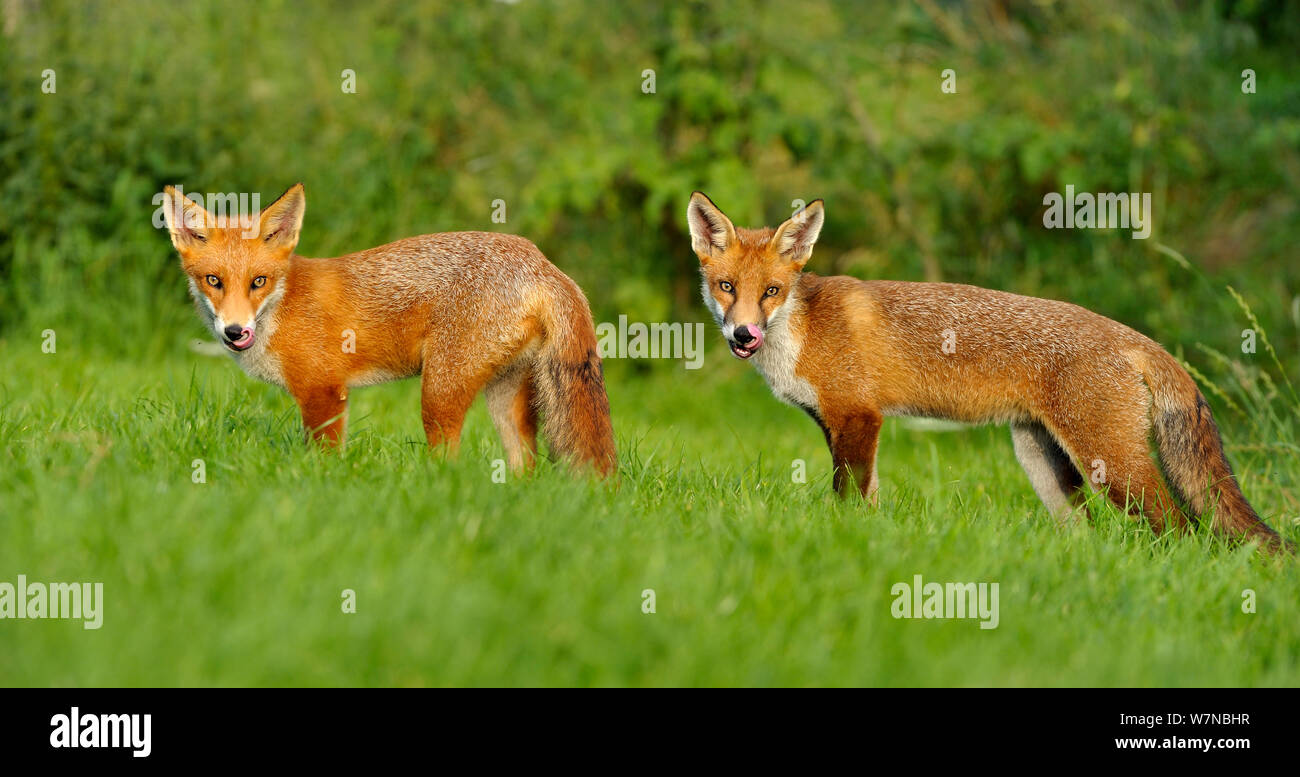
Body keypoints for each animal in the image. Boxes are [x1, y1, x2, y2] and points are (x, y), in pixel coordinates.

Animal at [161, 184, 616, 475]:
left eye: (259, 282)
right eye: (213, 281)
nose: (235, 332)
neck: (283, 305)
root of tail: (541, 262)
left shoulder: (324, 392)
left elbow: (324, 460)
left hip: (439, 393)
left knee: (450, 461)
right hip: (505, 397)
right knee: (527, 468)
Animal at [686, 191, 1289, 553]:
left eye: (771, 291)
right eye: (726, 287)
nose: (744, 335)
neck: (802, 328)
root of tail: (1134, 337)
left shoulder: (858, 417)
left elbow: (849, 499)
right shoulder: (840, 423)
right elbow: (869, 501)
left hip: (1111, 464)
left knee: (1181, 527)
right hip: (1042, 462)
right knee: (1088, 534)